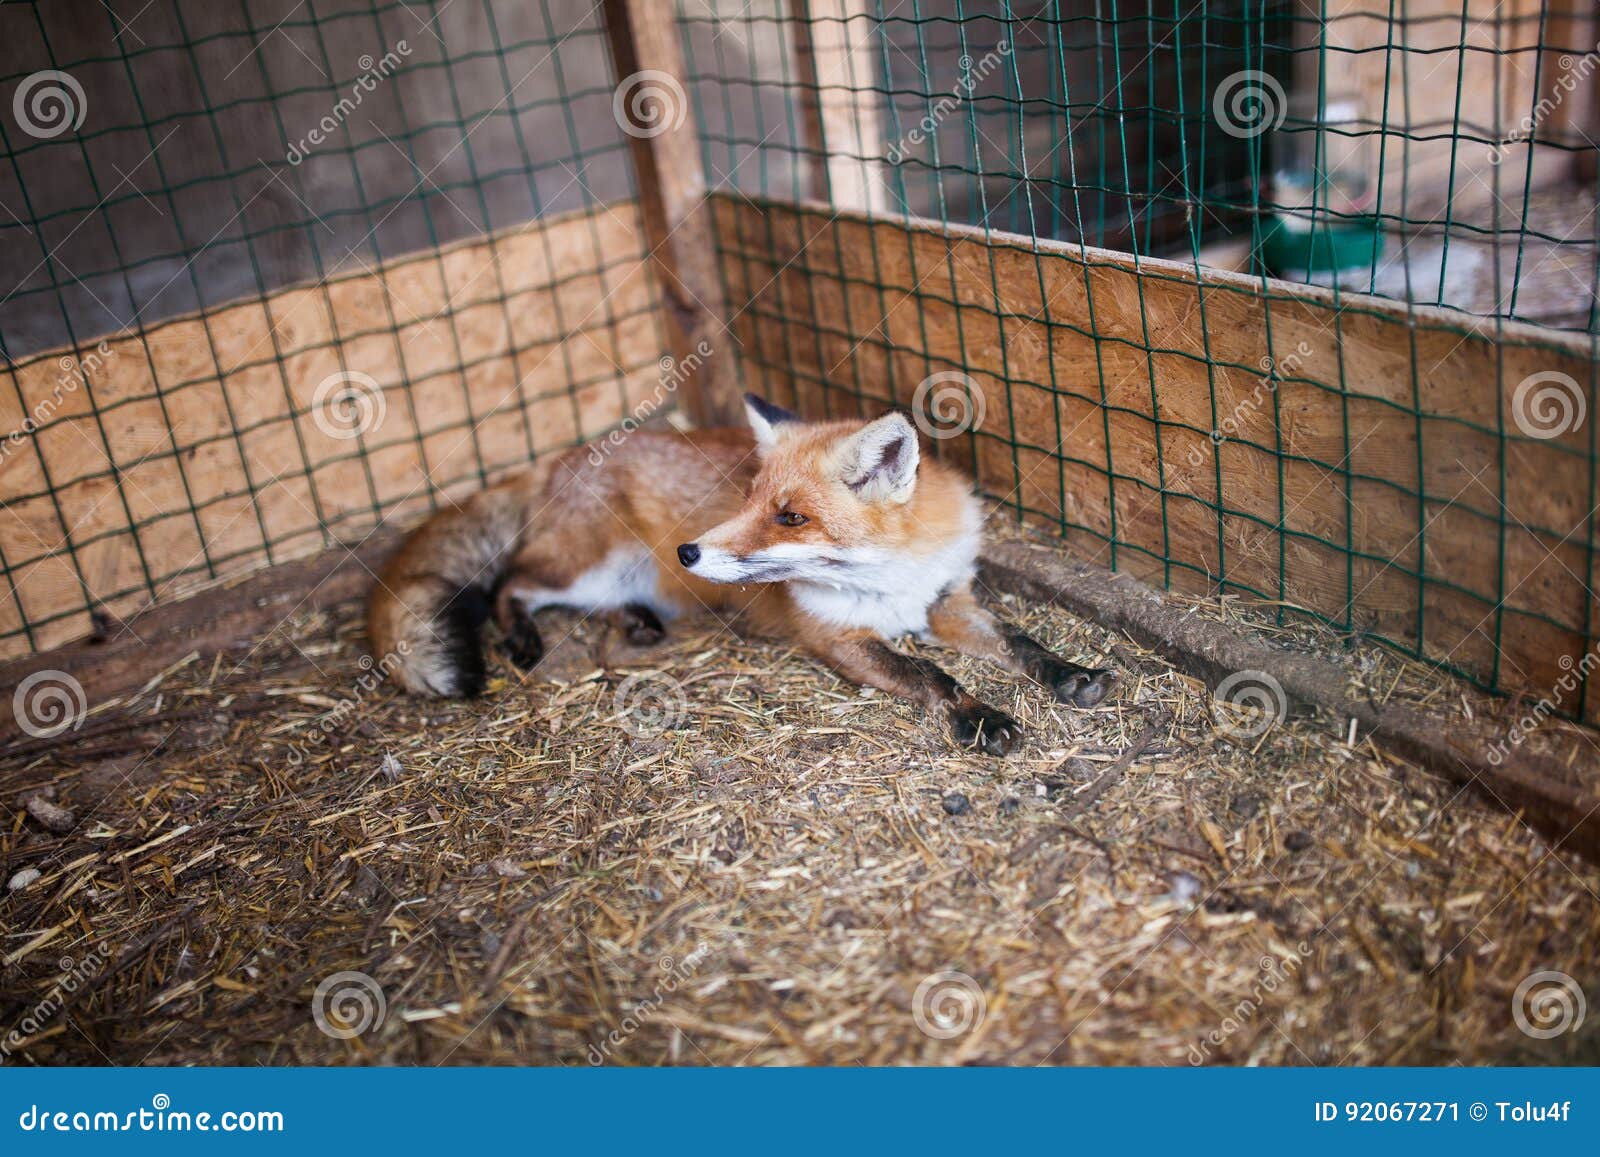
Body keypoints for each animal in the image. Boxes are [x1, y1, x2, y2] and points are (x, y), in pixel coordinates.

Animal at [368, 394, 1115, 755]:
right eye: (749, 500)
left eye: (790, 517)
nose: (689, 554)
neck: (890, 582)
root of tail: (560, 459)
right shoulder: (835, 638)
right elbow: (931, 674)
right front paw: (981, 716)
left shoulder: (945, 603)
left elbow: (1019, 642)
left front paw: (1069, 673)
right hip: (583, 567)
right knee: (510, 583)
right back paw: (523, 638)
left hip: (610, 577)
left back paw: (639, 620)